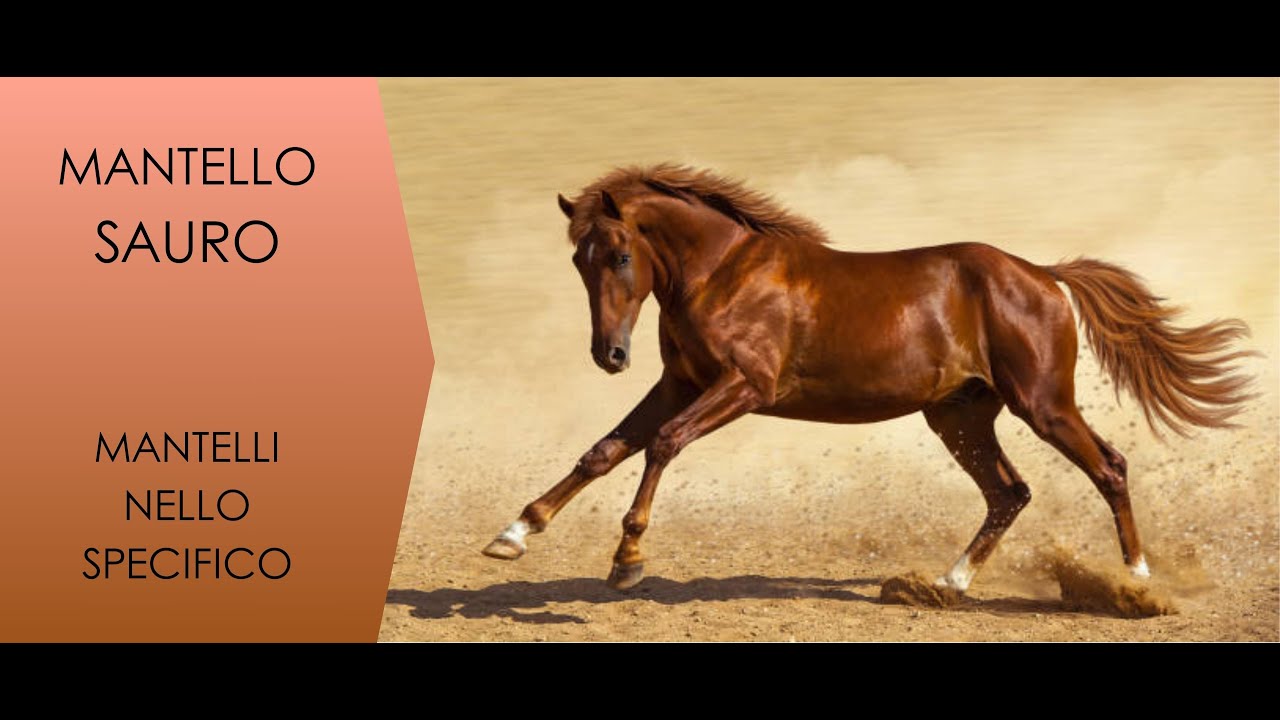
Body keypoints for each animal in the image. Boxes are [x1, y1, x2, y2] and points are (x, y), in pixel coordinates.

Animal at [481, 163, 1256, 594]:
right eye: (577, 260)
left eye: (618, 255)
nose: (609, 355)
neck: (723, 273)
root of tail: (1039, 273)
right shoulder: (682, 382)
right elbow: (604, 451)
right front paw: (514, 533)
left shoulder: (744, 387)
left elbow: (663, 443)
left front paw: (627, 559)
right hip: (959, 416)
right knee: (1009, 492)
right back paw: (949, 583)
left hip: (1043, 404)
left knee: (1109, 467)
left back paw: (1138, 579)